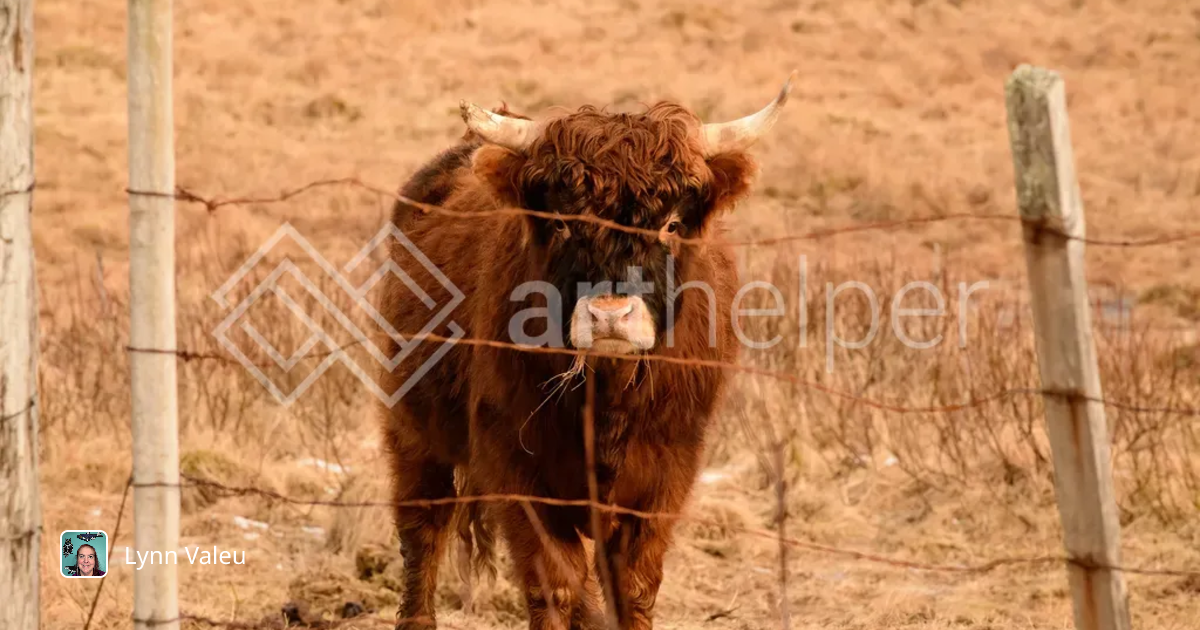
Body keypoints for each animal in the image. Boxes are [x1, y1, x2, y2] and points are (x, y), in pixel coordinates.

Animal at [376, 73, 794, 630]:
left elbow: (632, 588)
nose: (609, 316)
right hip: (413, 429)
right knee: (423, 527)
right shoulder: (518, 472)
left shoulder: (666, 475)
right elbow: (554, 585)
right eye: (560, 223)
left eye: (671, 225)